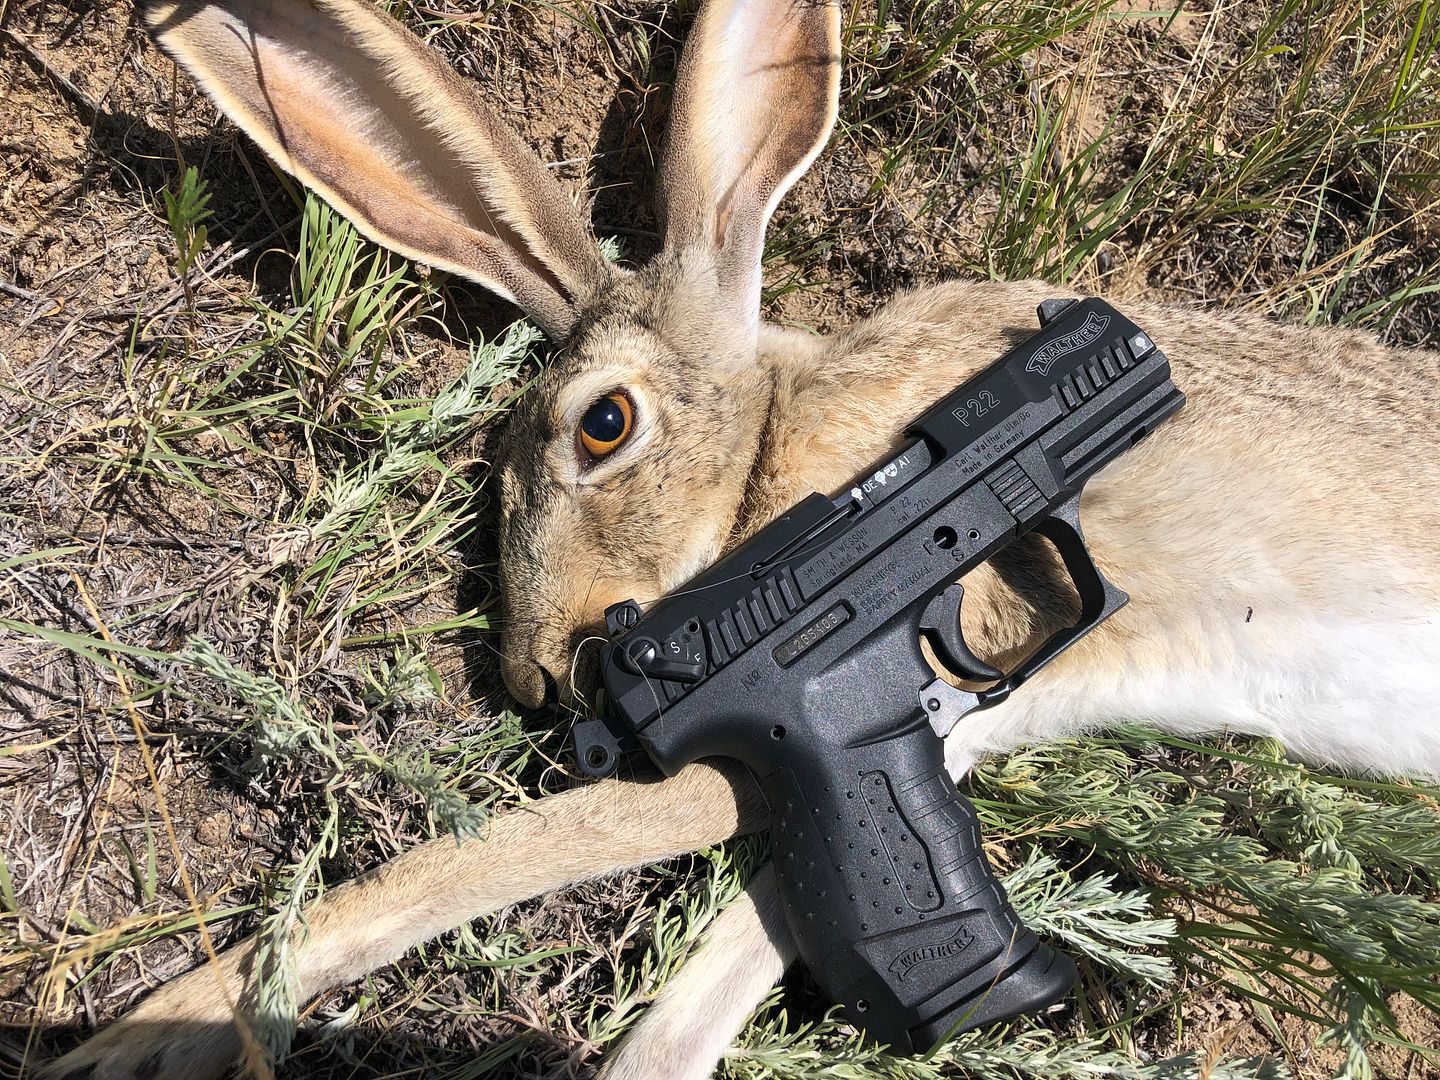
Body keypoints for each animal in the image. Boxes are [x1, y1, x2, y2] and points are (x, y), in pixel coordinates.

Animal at [42, 0, 1440, 1078]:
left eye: (602, 424)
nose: (536, 680)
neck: (776, 449)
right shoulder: (871, 725)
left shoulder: (840, 713)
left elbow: (461, 866)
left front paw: (141, 1036)